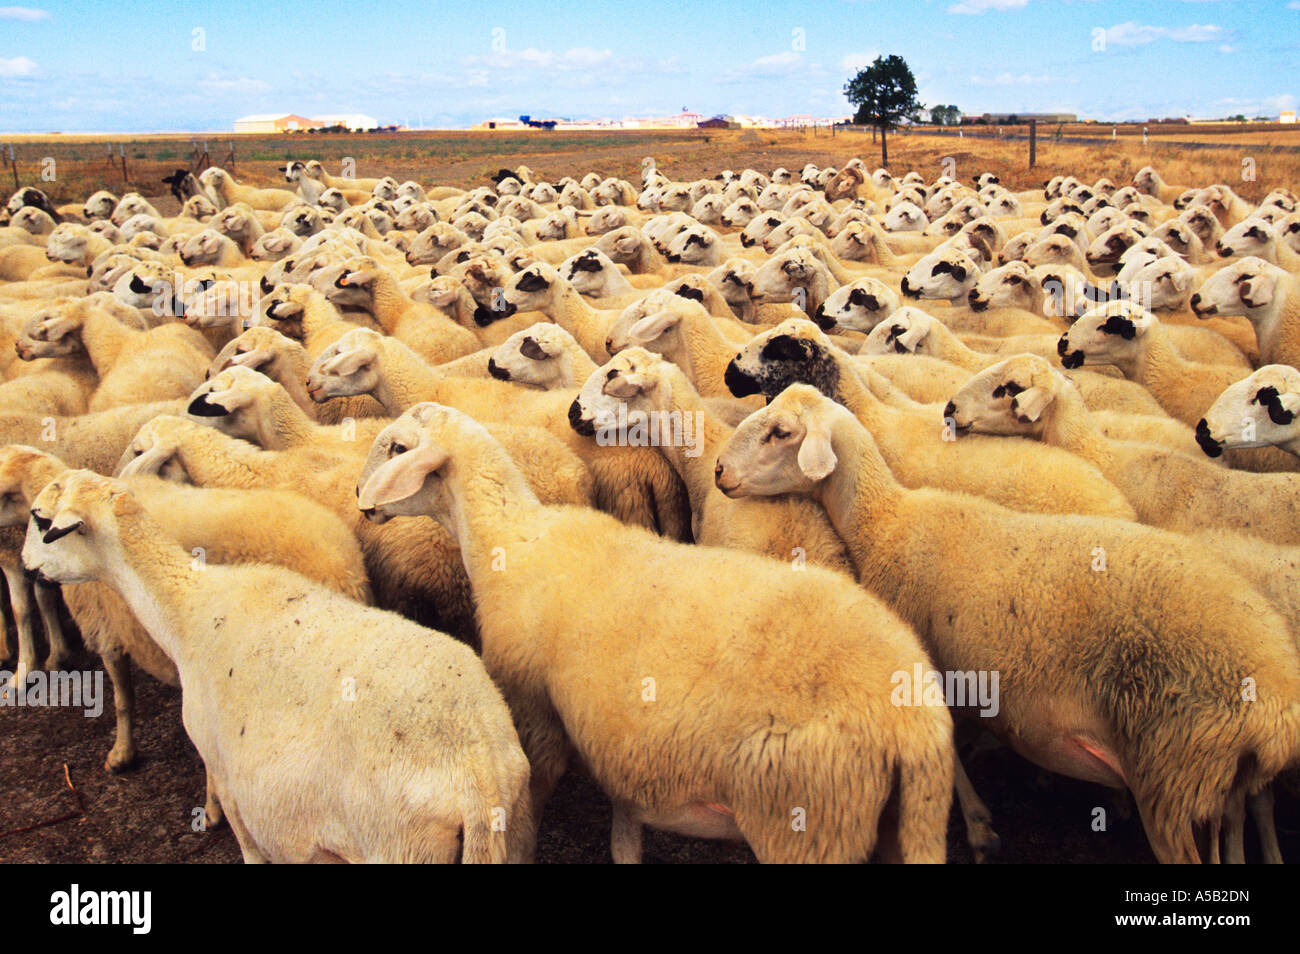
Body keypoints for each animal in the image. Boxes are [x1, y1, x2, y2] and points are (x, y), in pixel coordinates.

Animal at [23, 468, 531, 863]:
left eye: (42, 520)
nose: (27, 564)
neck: (186, 607)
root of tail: (478, 773)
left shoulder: (227, 775)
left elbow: (244, 840)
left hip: (399, 845)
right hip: (515, 833)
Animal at [356, 401, 954, 863]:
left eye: (397, 447)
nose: (361, 500)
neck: (509, 538)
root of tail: (917, 724)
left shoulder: (534, 713)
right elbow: (624, 836)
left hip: (808, 822)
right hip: (899, 824)